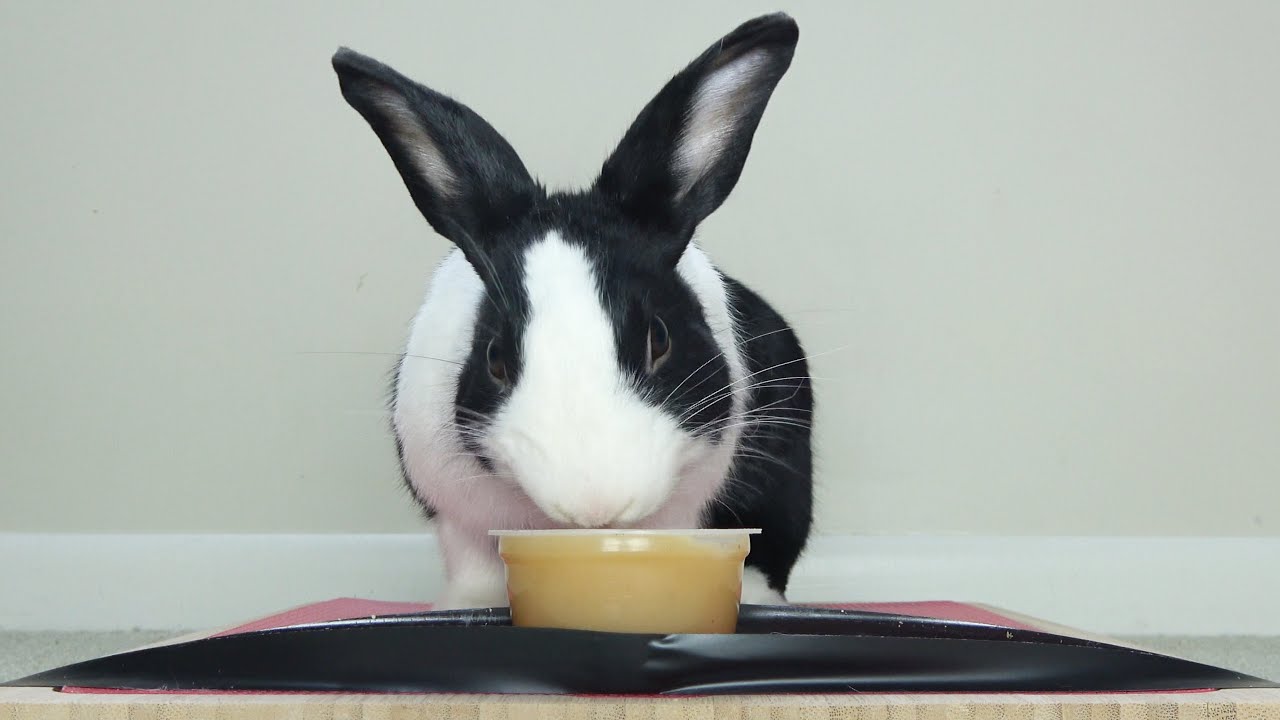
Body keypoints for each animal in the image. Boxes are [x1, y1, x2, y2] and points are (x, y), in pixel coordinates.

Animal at [332, 12, 813, 610]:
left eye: (659, 340)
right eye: (495, 359)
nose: (595, 508)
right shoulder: (457, 518)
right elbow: (474, 568)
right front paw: (467, 606)